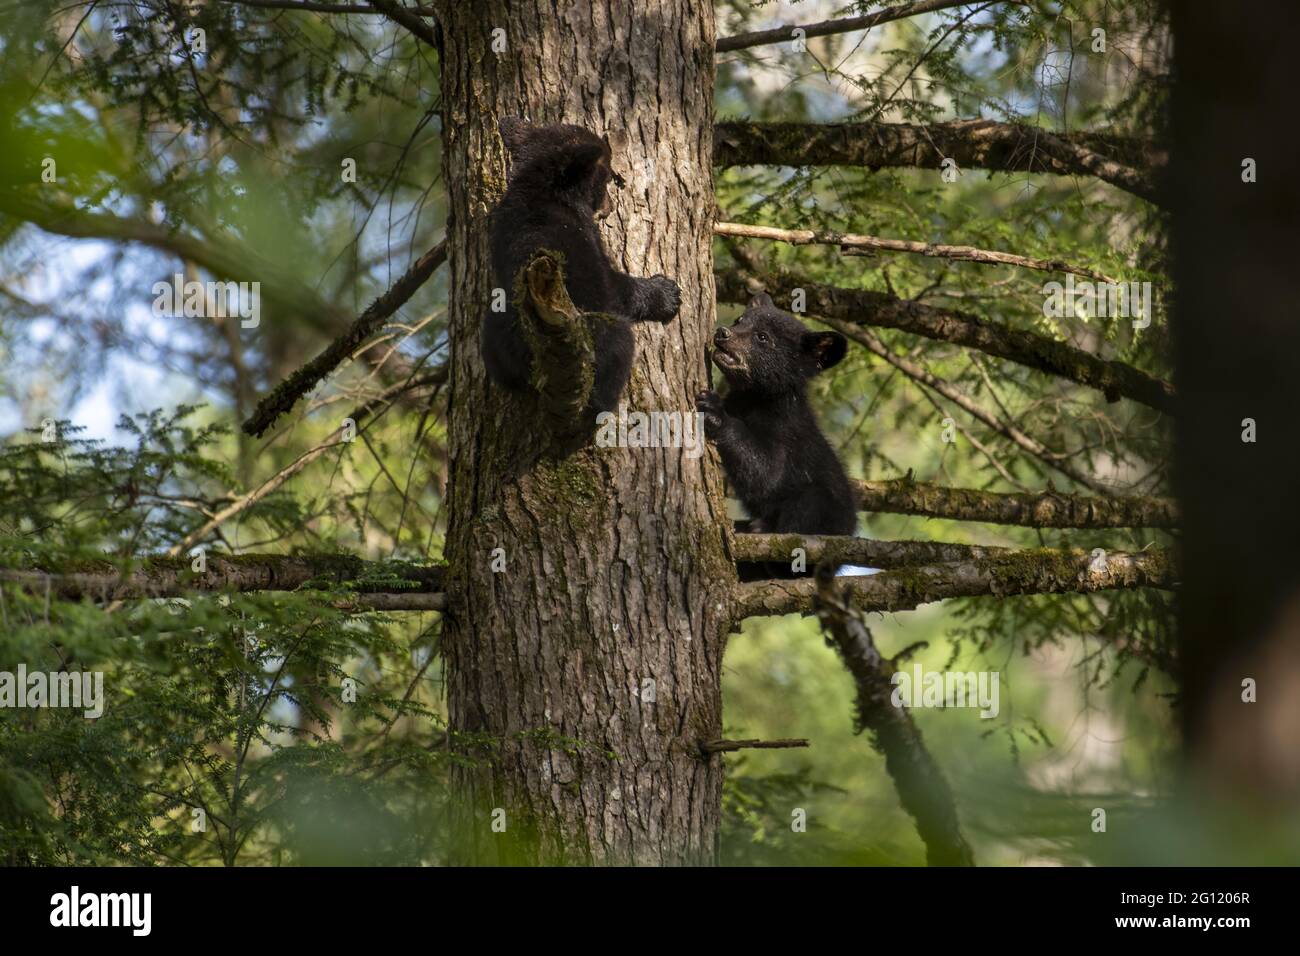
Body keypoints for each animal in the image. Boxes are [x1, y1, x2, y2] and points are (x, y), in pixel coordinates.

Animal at [483, 120, 681, 416]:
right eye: (607, 176)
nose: (609, 207)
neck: (543, 188)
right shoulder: (586, 241)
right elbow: (612, 285)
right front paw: (665, 293)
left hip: (497, 329)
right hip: (599, 333)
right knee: (619, 345)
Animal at [697, 293, 859, 577]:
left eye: (762, 337)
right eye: (740, 320)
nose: (723, 332)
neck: (756, 399)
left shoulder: (786, 431)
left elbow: (766, 471)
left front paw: (715, 412)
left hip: (824, 515)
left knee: (806, 509)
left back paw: (763, 533)